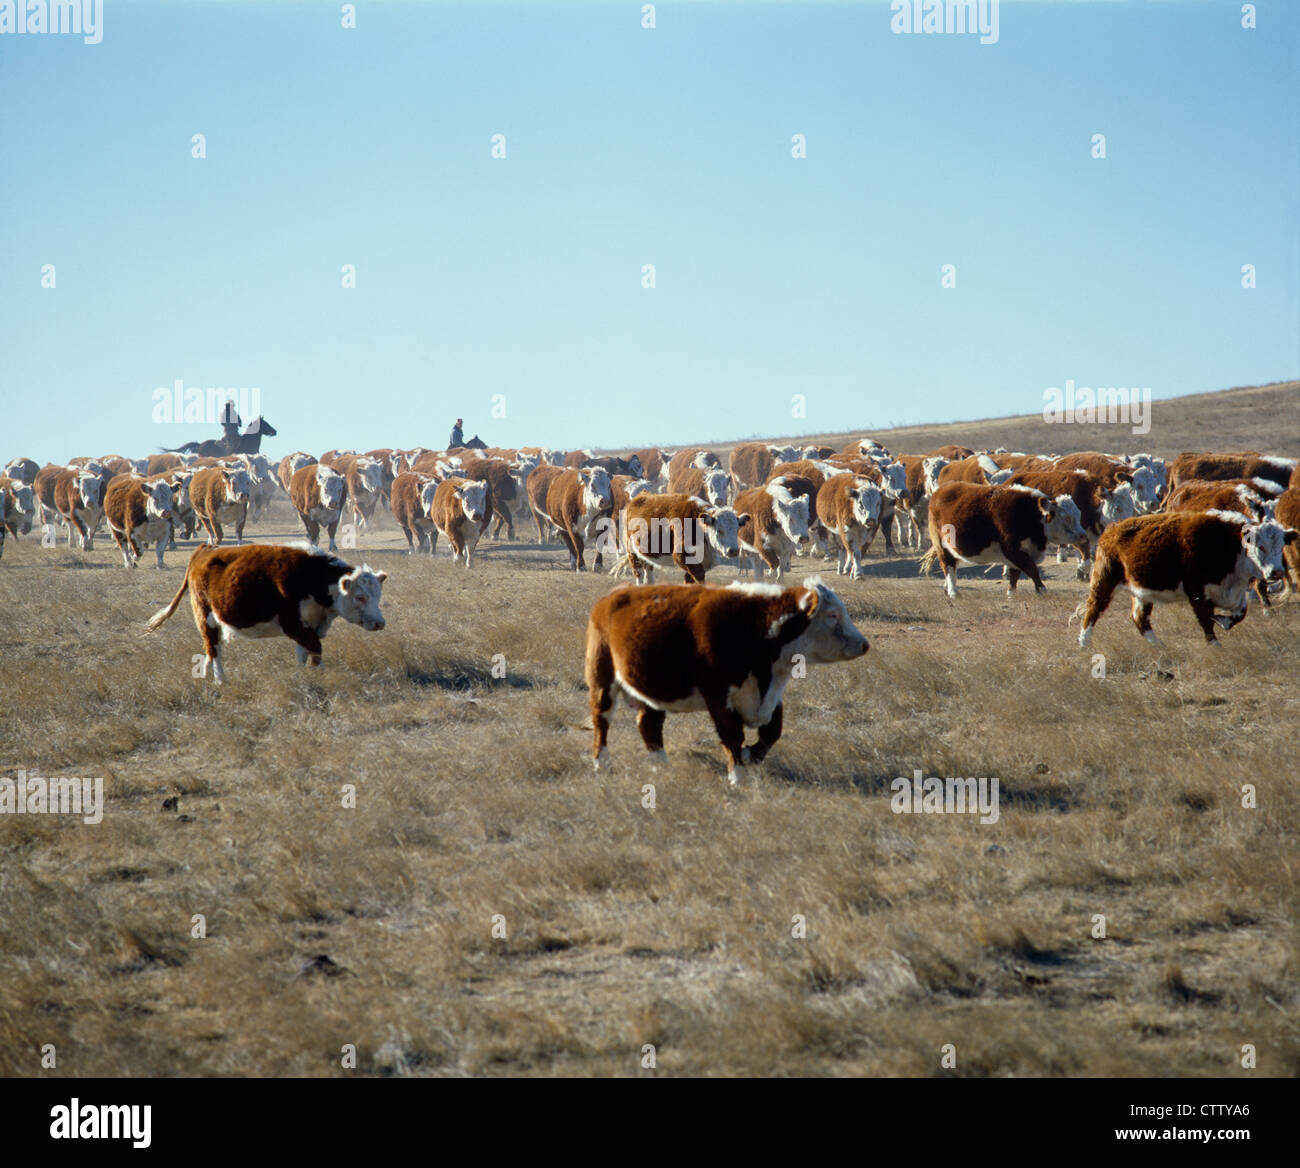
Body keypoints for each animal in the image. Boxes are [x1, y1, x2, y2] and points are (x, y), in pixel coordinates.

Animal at [145, 544, 387, 683]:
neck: (313, 577)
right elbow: (316, 648)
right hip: (205, 616)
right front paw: (320, 674)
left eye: (377, 595)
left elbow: (304, 652)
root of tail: (204, 550)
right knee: (213, 648)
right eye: (360, 597)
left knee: (213, 647)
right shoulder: (293, 624)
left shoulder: (310, 625)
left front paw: (303, 676)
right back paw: (220, 680)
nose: (380, 623)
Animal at [585, 576, 868, 785]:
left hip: (652, 689)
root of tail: (612, 595)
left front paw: (749, 755)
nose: (864, 644)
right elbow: (732, 734)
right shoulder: (719, 696)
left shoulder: (771, 695)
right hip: (601, 678)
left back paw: (660, 764)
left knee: (649, 724)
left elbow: (772, 732)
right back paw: (602, 762)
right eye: (833, 615)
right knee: (602, 720)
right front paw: (738, 775)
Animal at [921, 482, 1087, 597]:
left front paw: (1011, 593)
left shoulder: (1022, 551)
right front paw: (1042, 589)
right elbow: (1031, 568)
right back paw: (954, 592)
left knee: (953, 566)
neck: (1032, 515)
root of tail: (940, 490)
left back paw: (947, 588)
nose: (1083, 535)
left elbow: (1016, 573)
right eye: (1066, 518)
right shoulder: (1012, 549)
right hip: (942, 546)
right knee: (948, 566)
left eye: (1078, 515)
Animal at [1076, 512, 1297, 647]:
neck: (1230, 544)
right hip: (1104, 581)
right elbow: (1205, 620)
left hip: (1142, 593)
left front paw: (1223, 620)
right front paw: (1215, 644)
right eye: (1261, 546)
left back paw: (1160, 646)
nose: (1276, 572)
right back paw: (1084, 642)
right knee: (1093, 610)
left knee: (1140, 618)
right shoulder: (1197, 592)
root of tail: (1111, 529)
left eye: (1281, 546)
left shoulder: (1231, 591)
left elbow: (1240, 612)